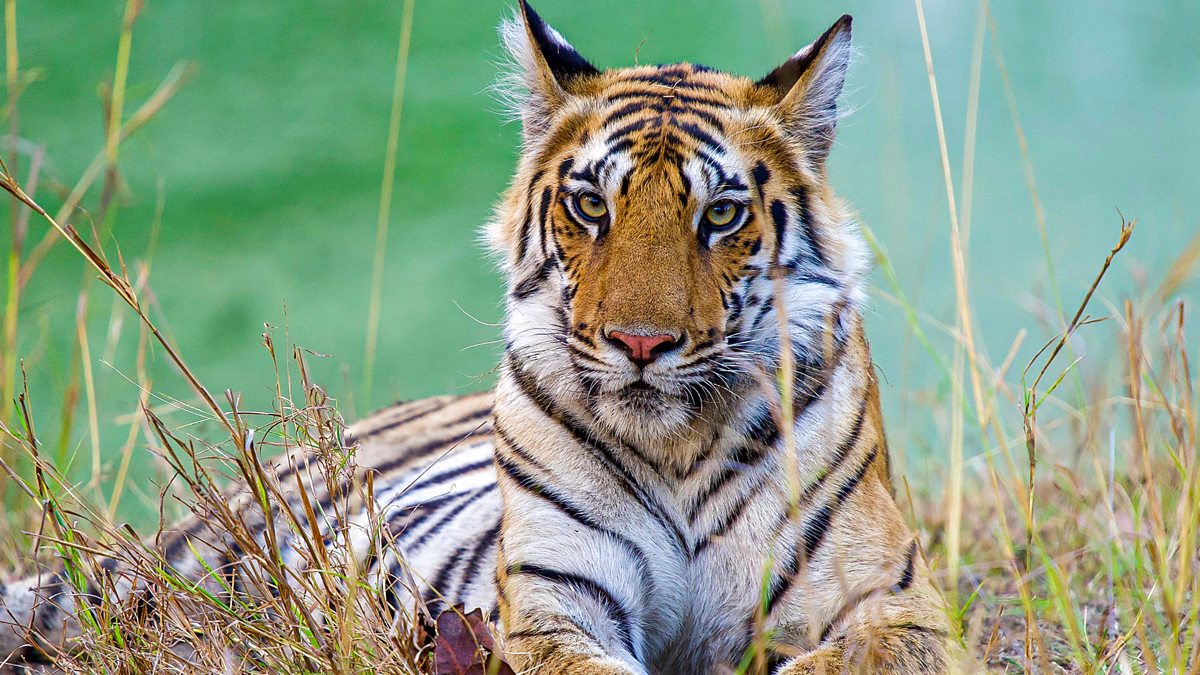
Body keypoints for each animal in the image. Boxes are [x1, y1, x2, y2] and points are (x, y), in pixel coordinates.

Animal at [1, 2, 957, 673]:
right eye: (590, 204)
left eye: (720, 214)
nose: (640, 343)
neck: (679, 443)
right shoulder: (555, 603)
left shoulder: (894, 600)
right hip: (155, 566)